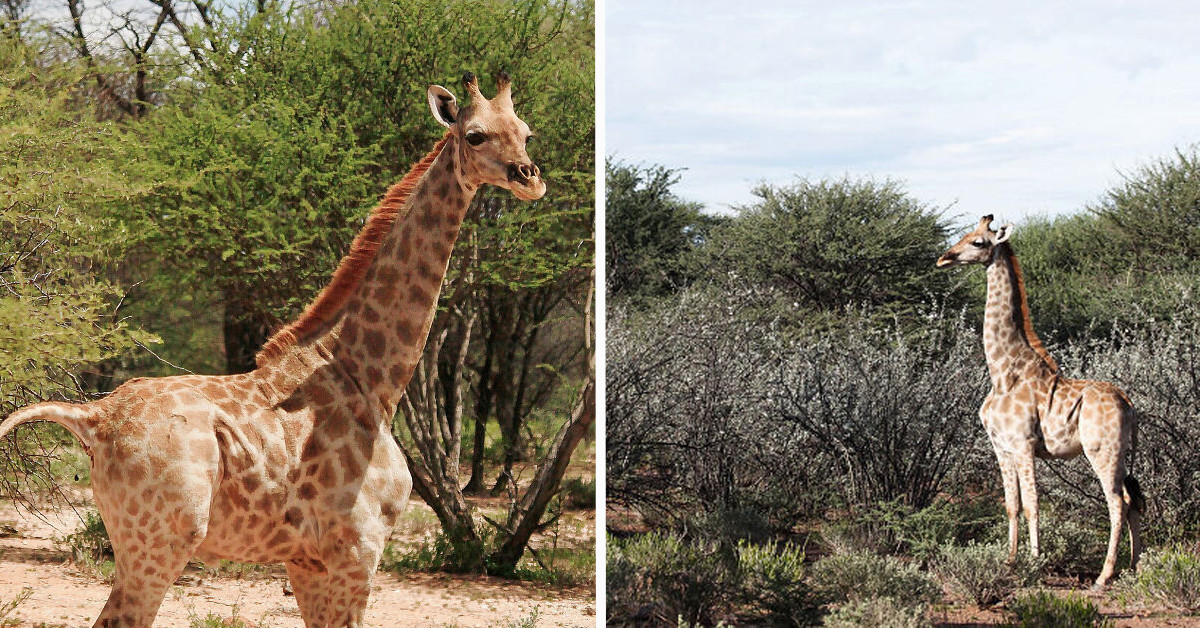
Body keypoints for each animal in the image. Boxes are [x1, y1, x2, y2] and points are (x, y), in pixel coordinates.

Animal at [0, 72, 544, 627]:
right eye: (475, 136)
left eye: (526, 132)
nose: (529, 176)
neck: (372, 379)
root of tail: (93, 418)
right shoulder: (358, 553)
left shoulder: (309, 562)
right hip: (161, 543)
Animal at [937, 214, 1143, 588]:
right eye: (965, 234)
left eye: (978, 242)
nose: (944, 258)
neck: (1002, 372)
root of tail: (1129, 403)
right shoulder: (1001, 447)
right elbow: (1011, 504)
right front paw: (1009, 562)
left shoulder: (1023, 444)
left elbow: (1033, 503)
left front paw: (1034, 564)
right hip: (1119, 454)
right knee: (1133, 499)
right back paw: (1133, 568)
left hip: (1102, 451)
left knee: (1117, 502)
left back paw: (1104, 576)